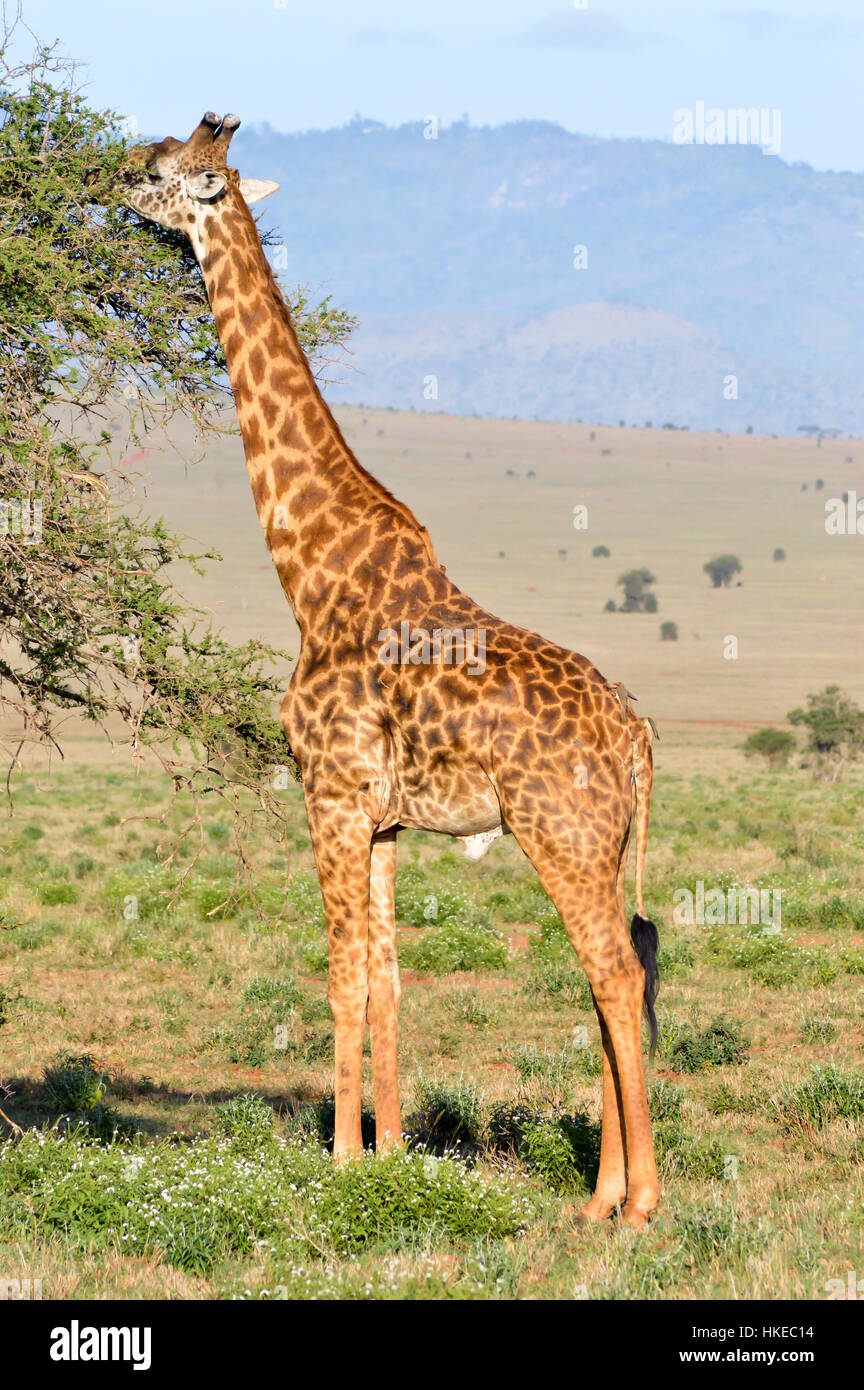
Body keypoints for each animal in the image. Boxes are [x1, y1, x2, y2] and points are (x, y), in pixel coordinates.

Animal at [119, 113, 662, 1226]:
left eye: (158, 169)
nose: (101, 177)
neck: (311, 570)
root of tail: (637, 736)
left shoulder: (326, 792)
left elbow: (339, 978)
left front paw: (336, 1161)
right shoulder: (383, 819)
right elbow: (389, 980)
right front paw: (395, 1152)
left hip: (561, 832)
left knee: (616, 977)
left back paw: (636, 1205)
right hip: (600, 842)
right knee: (613, 975)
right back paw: (595, 1198)